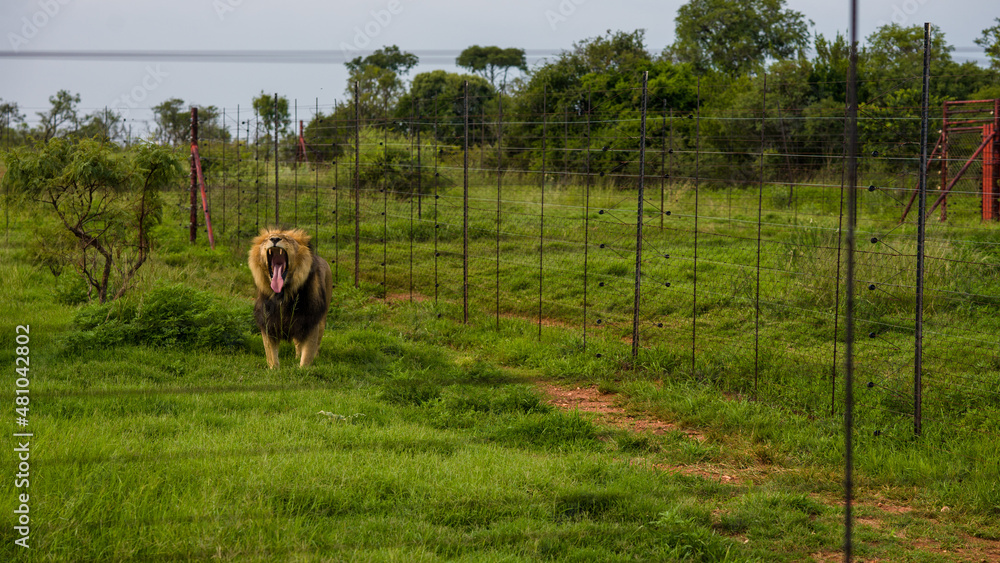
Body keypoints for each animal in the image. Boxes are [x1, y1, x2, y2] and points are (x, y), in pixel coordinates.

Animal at [248, 227, 333, 368]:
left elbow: (308, 352)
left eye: (287, 238)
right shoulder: (268, 322)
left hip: (322, 319)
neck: (282, 295)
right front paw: (274, 369)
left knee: (316, 343)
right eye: (268, 238)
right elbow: (271, 354)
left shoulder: (310, 320)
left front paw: (303, 370)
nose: (274, 239)